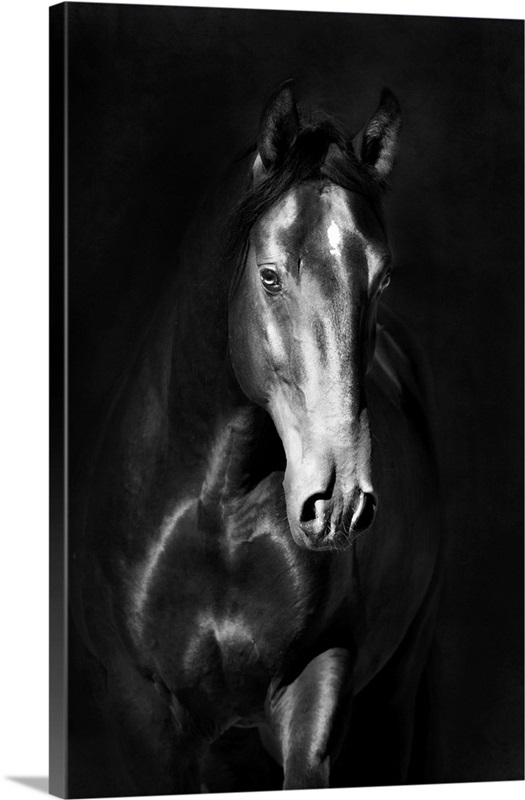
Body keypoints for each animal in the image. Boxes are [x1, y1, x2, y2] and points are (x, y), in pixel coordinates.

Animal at [70, 81, 442, 794]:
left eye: (381, 278)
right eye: (269, 276)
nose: (338, 502)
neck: (219, 508)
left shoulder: (317, 682)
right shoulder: (143, 710)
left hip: (396, 696)